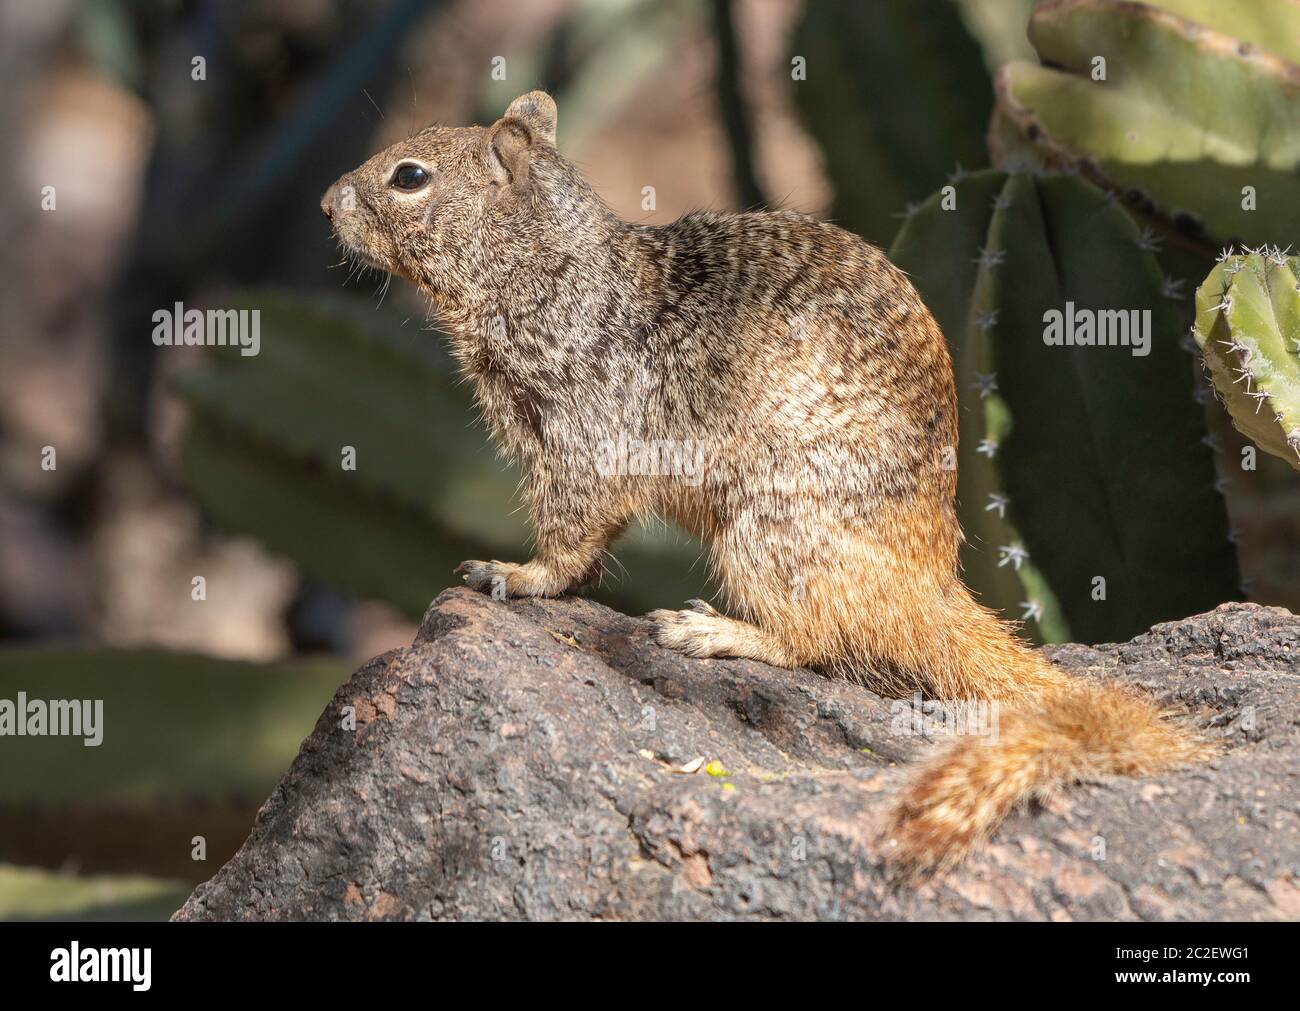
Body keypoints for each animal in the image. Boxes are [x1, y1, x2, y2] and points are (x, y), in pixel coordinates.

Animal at [321, 91, 1209, 870]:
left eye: (409, 176)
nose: (327, 202)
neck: (545, 266)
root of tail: (929, 582)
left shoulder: (581, 429)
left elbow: (576, 530)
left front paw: (519, 572)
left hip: (766, 529)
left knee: (813, 641)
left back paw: (714, 632)